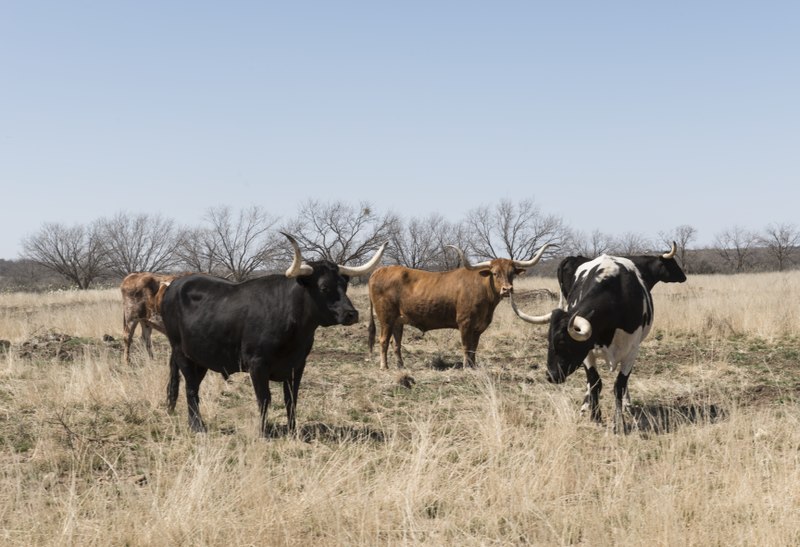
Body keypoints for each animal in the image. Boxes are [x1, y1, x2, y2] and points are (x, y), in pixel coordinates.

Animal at [161, 233, 387, 435]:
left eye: (344, 284)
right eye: (324, 287)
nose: (351, 314)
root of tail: (175, 284)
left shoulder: (297, 365)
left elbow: (291, 399)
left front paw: (293, 431)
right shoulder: (257, 365)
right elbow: (264, 399)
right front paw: (262, 432)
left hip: (199, 359)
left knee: (191, 387)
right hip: (182, 353)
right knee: (191, 389)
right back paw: (197, 427)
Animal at [368, 244, 550, 369]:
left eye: (512, 273)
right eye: (495, 273)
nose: (507, 289)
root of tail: (379, 270)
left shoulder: (479, 327)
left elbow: (474, 347)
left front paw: (473, 366)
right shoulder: (465, 322)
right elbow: (466, 346)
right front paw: (466, 366)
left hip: (398, 320)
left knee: (396, 343)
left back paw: (401, 366)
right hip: (386, 318)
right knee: (383, 340)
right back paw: (384, 366)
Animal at [510, 242, 686, 433]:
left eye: (562, 341)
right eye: (548, 341)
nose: (551, 376)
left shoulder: (632, 351)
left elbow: (619, 385)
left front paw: (619, 421)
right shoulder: (586, 352)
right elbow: (595, 383)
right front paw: (595, 417)